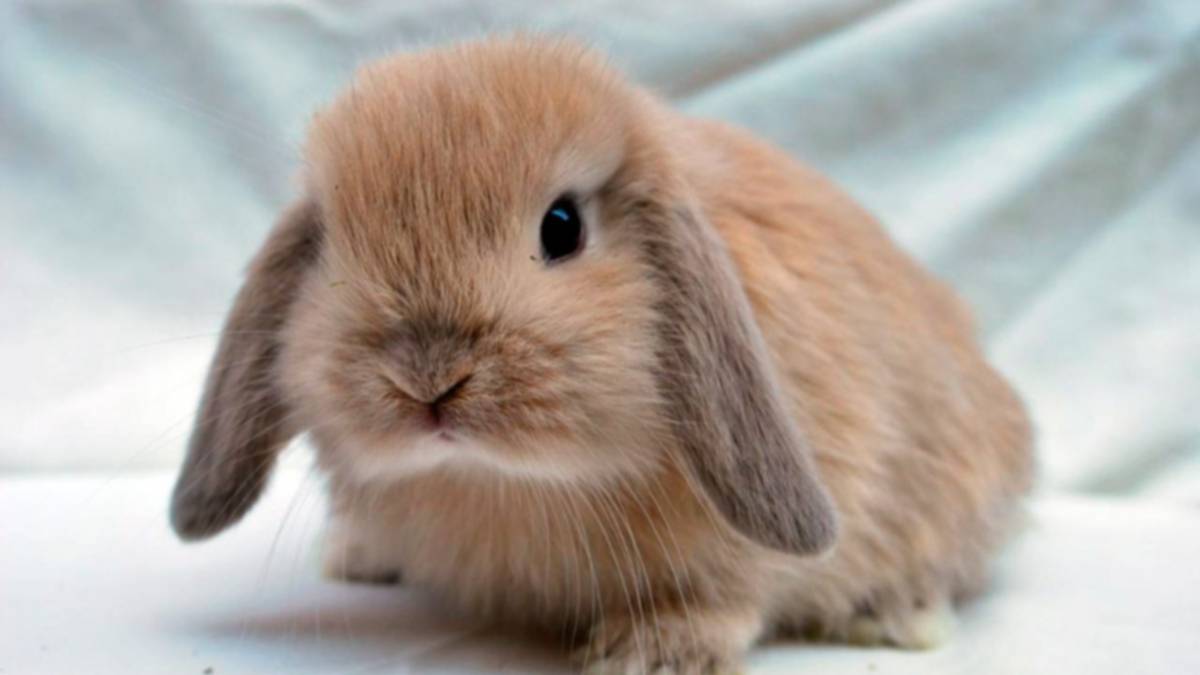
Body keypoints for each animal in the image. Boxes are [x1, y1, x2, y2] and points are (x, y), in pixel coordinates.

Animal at [169, 36, 1033, 674]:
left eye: (562, 227)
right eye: (330, 247)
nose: (427, 378)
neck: (500, 483)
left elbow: (738, 589)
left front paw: (651, 650)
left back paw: (903, 617)